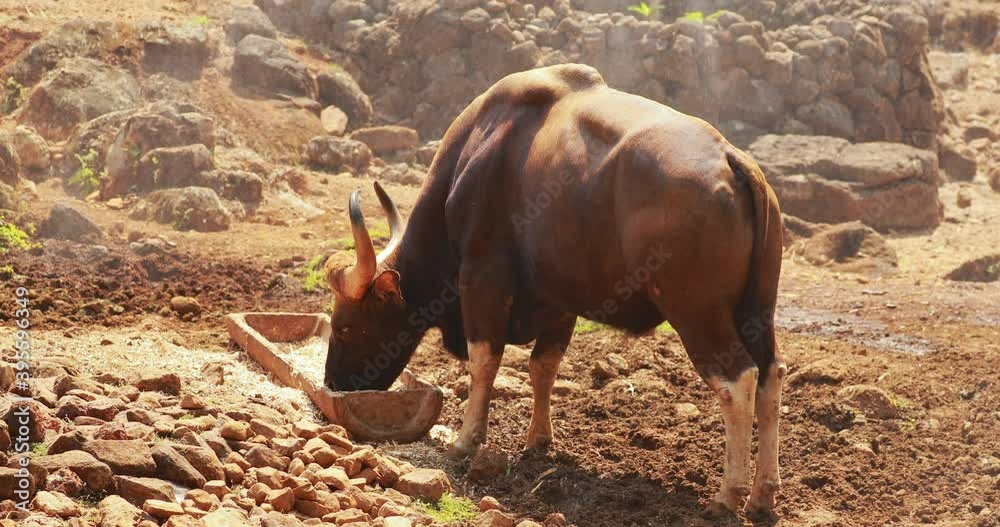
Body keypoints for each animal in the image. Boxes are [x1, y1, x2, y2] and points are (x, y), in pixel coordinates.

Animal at [323, 64, 785, 518]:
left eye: (343, 326)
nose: (333, 383)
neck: (480, 153)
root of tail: (731, 160)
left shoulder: (482, 279)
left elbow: (484, 360)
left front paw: (466, 441)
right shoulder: (559, 302)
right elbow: (543, 366)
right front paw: (538, 441)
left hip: (696, 312)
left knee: (737, 379)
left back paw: (728, 494)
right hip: (757, 312)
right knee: (771, 373)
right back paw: (762, 495)